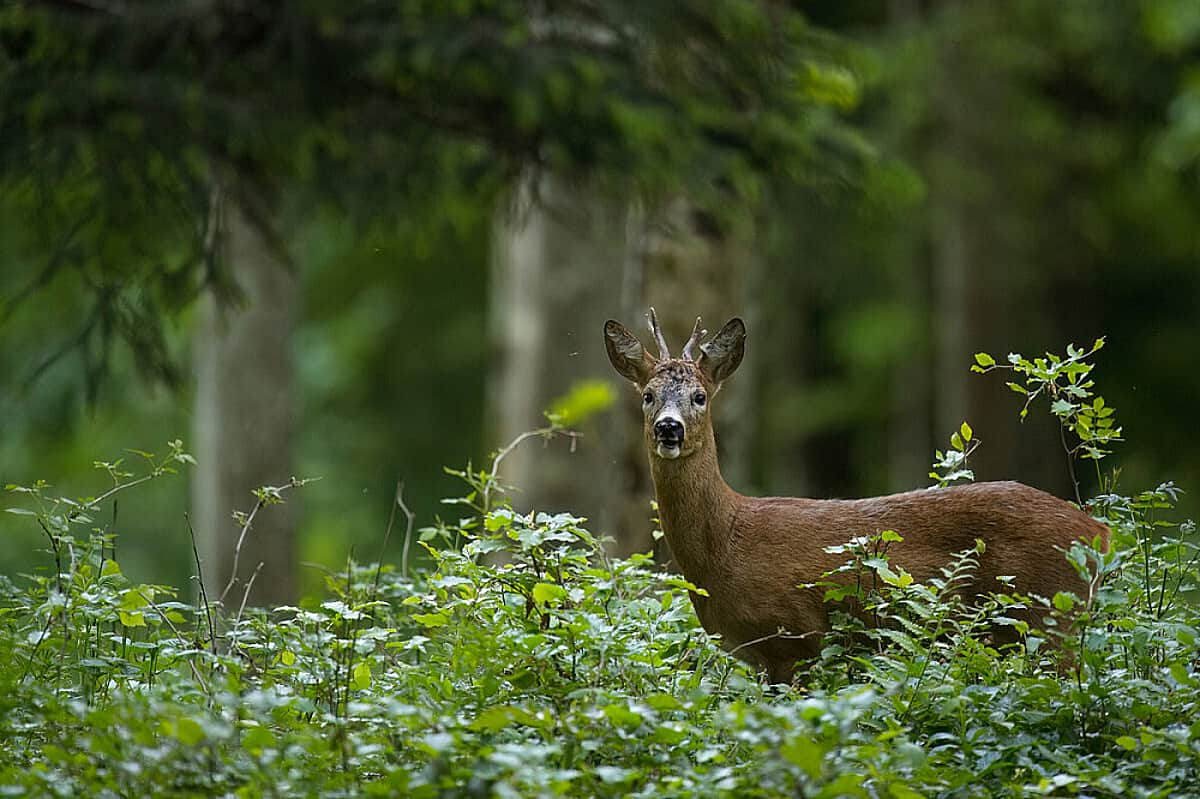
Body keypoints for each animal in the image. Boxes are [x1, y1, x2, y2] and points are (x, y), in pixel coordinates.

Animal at [604, 307, 1108, 681]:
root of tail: (1100, 533)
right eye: (648, 395)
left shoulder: (796, 638)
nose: (669, 428)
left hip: (1050, 614)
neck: (725, 544)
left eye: (700, 396)